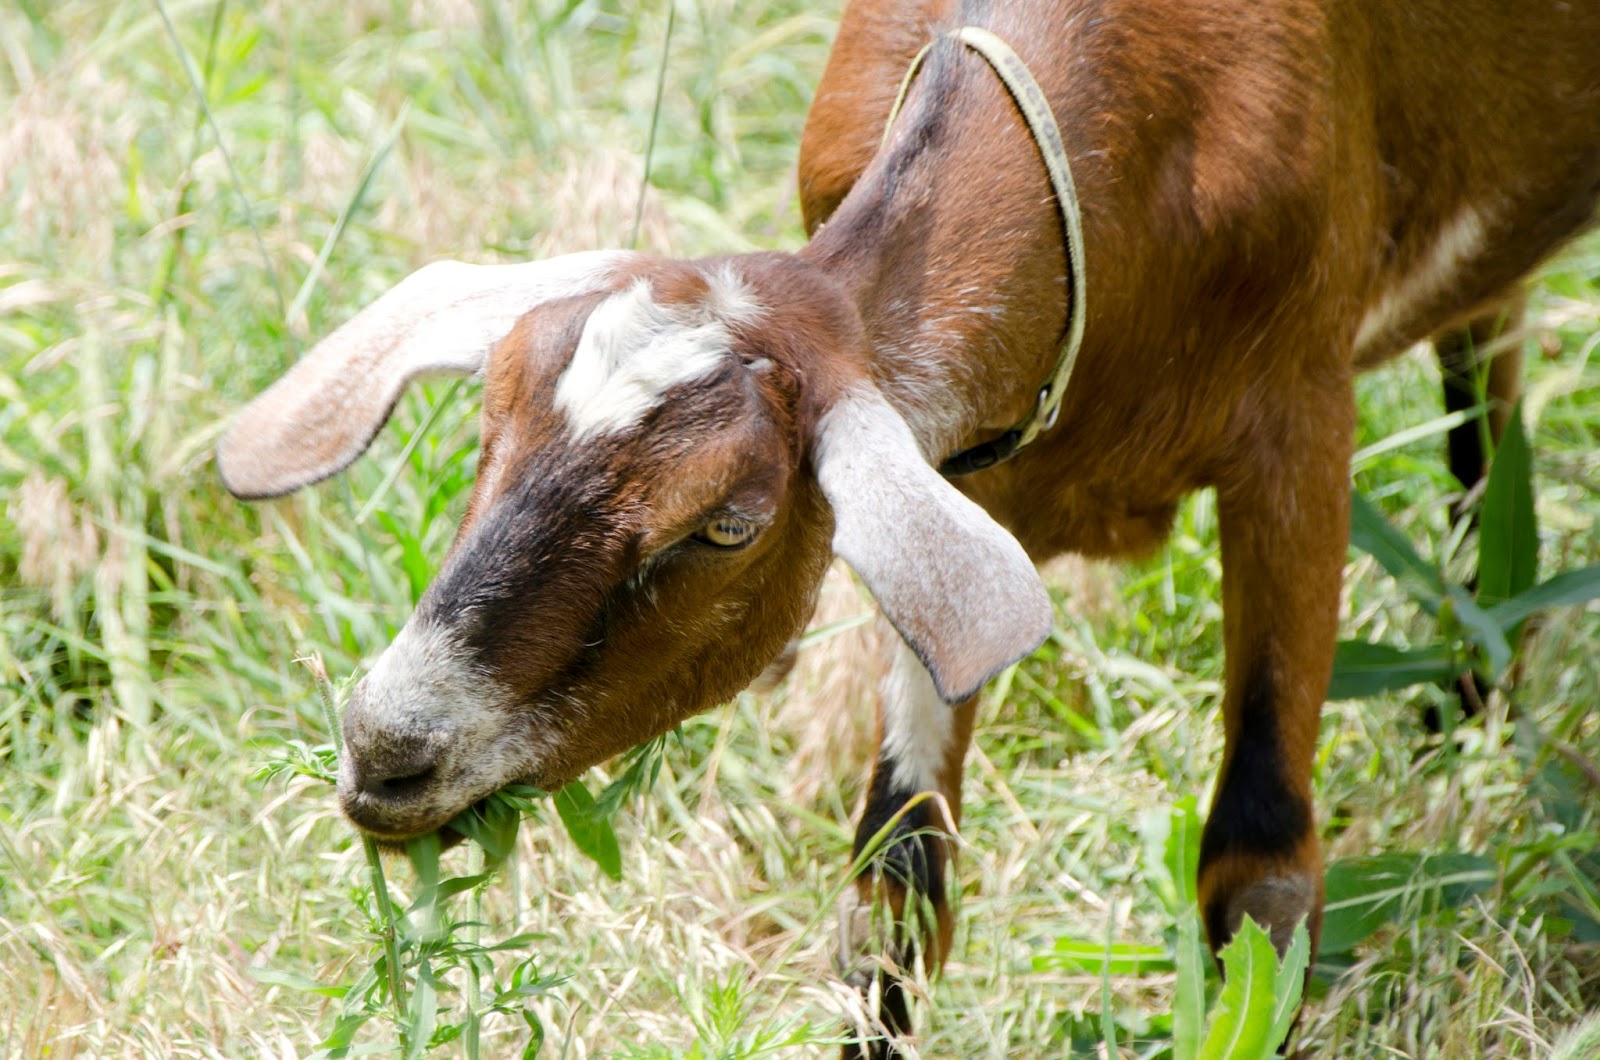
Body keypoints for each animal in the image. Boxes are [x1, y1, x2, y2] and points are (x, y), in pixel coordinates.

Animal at [219, 1, 1600, 1053]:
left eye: (727, 523)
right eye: (486, 424)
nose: (390, 750)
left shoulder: (1298, 419)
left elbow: (1259, 861)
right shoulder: (968, 474)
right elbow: (897, 882)